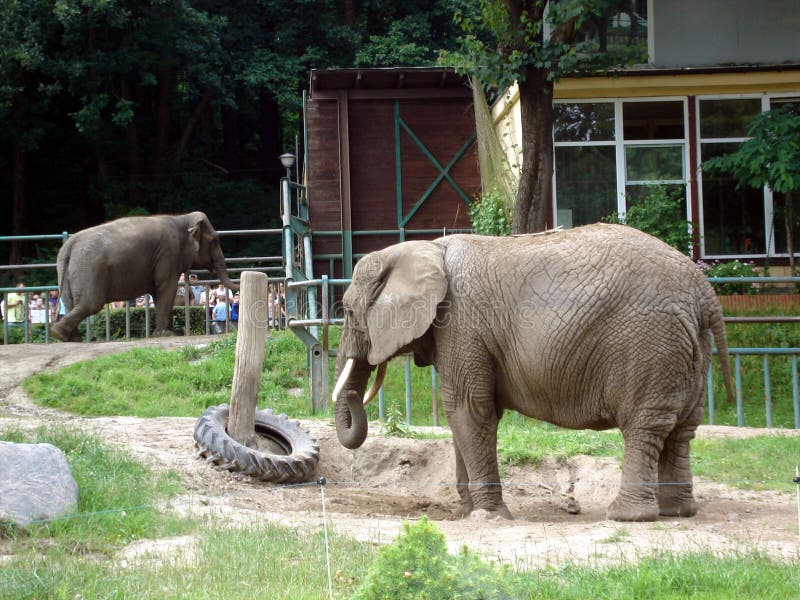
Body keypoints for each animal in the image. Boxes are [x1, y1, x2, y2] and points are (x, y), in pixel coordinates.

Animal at [51, 212, 239, 341]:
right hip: (89, 270)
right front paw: (166, 335)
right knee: (91, 304)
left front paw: (170, 333)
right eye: (215, 241)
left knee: (71, 303)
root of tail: (69, 243)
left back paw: (69, 337)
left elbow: (159, 293)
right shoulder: (168, 253)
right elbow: (166, 288)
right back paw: (59, 334)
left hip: (69, 270)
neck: (182, 218)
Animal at [332, 223, 735, 522]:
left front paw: (489, 517)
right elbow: (463, 414)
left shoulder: (462, 326)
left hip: (648, 343)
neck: (422, 248)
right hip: (691, 346)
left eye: (349, 313)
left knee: (644, 427)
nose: (354, 395)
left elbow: (469, 408)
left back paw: (626, 516)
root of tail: (703, 290)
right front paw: (468, 512)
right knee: (682, 429)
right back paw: (677, 512)